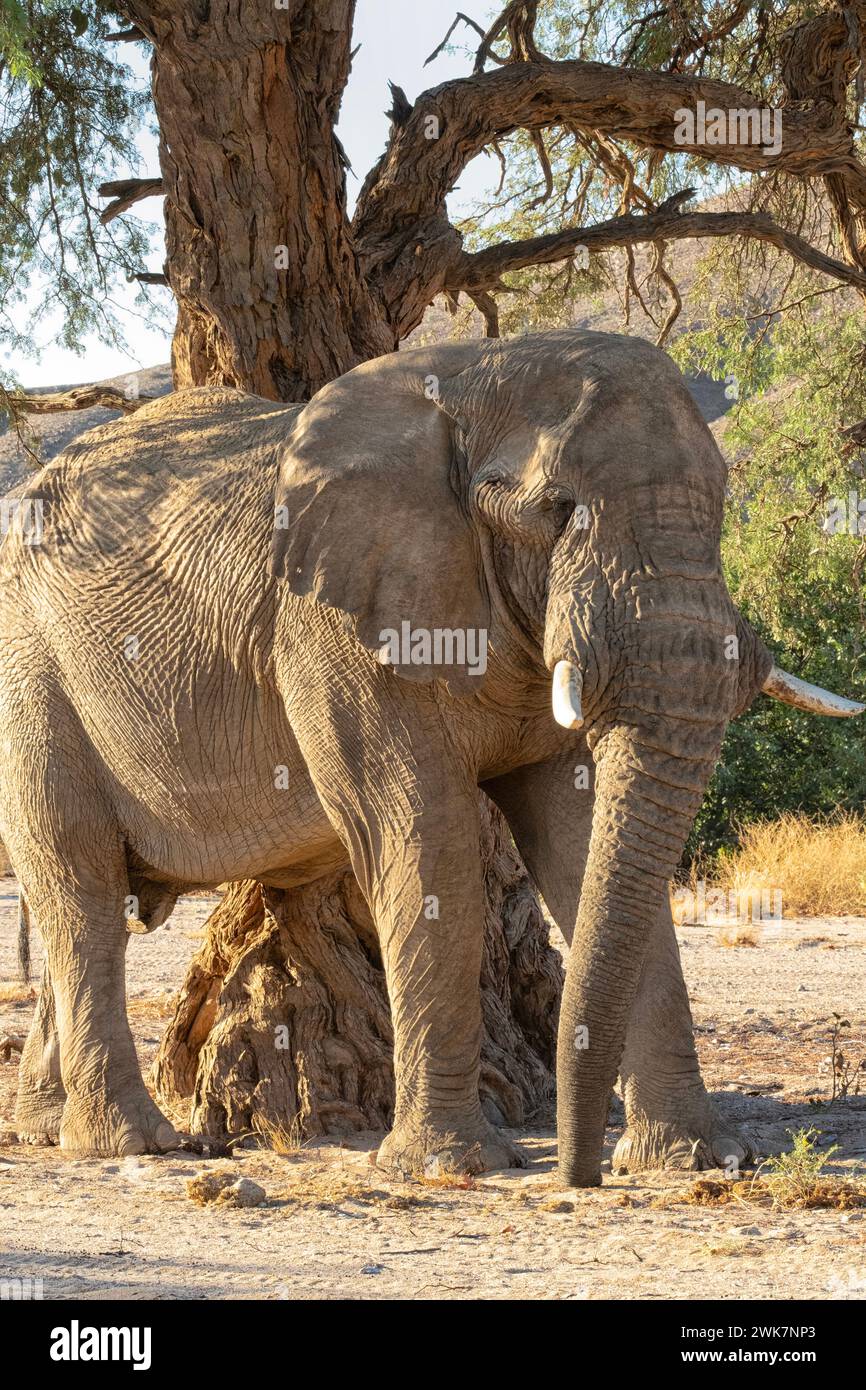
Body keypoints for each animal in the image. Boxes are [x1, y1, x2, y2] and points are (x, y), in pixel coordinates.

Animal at [0, 329, 860, 1185]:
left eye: (720, 504)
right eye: (555, 511)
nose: (578, 1172)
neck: (472, 379)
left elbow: (586, 844)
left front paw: (696, 1158)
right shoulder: (338, 626)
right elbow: (423, 838)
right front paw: (454, 1165)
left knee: (83, 901)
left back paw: (45, 1130)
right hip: (30, 674)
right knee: (80, 888)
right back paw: (131, 1143)